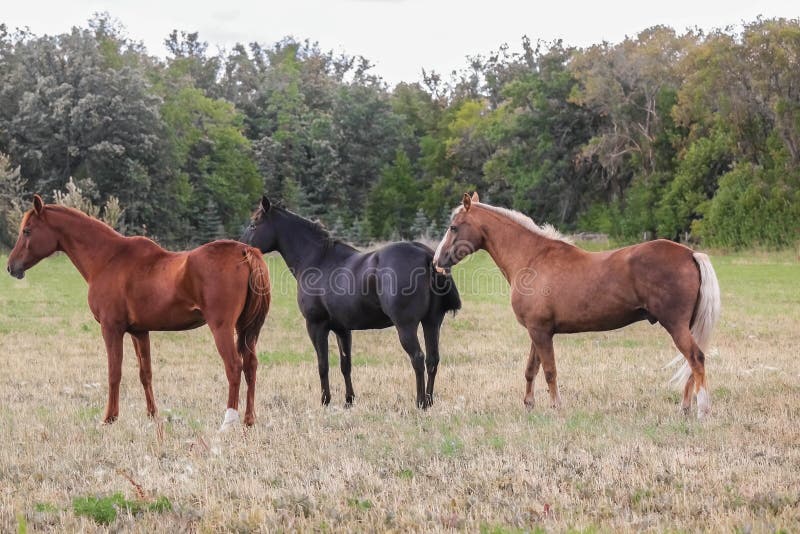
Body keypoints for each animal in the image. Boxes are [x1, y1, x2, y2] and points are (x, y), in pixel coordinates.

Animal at [6, 195, 270, 429]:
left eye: (27, 231)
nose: (11, 267)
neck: (108, 259)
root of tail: (245, 252)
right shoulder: (139, 332)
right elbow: (146, 373)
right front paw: (153, 416)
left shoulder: (111, 329)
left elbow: (114, 372)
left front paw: (109, 418)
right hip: (246, 330)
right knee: (251, 366)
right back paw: (248, 421)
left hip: (222, 328)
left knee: (234, 367)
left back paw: (228, 422)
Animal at [241, 196, 461, 408]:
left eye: (253, 224)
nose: (241, 250)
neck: (318, 261)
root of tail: (425, 254)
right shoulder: (342, 329)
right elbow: (345, 365)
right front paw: (349, 400)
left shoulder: (315, 325)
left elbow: (323, 365)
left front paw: (325, 401)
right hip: (431, 322)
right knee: (432, 359)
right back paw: (429, 401)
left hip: (406, 326)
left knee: (418, 358)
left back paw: (420, 402)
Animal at [432, 192, 721, 419]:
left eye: (454, 227)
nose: (437, 261)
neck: (532, 258)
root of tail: (691, 254)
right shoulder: (537, 331)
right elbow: (531, 370)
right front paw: (529, 405)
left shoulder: (541, 332)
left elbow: (549, 371)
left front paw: (556, 407)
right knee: (691, 365)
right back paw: (685, 409)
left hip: (676, 326)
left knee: (696, 359)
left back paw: (702, 410)